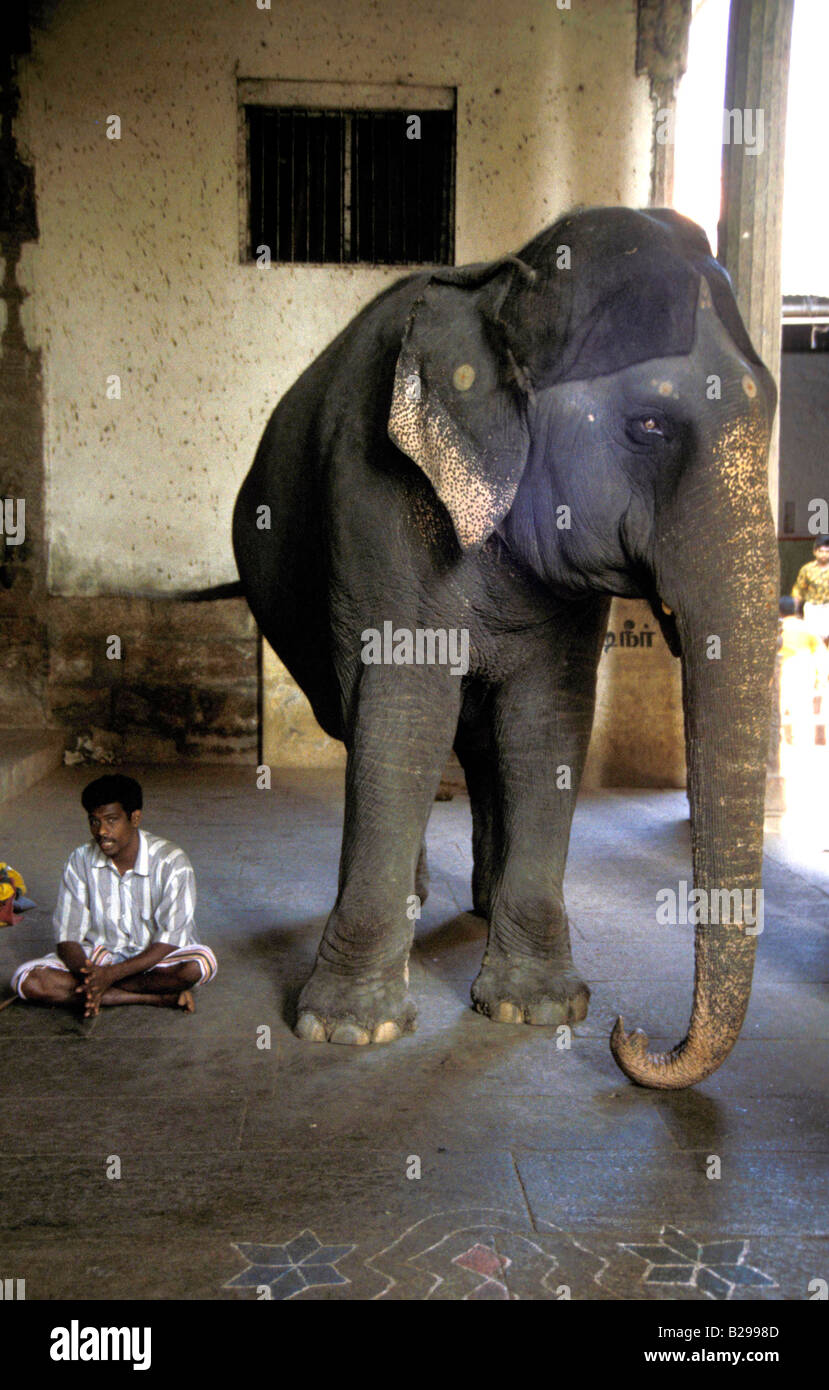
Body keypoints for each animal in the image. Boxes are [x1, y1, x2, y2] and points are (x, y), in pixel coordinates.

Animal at [233, 206, 778, 1089]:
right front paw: (349, 1030)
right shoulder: (377, 493)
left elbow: (547, 718)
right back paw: (417, 900)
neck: (501, 289)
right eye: (649, 425)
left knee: (487, 740)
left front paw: (540, 1010)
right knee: (366, 722)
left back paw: (482, 905)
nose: (628, 1034)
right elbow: (405, 711)